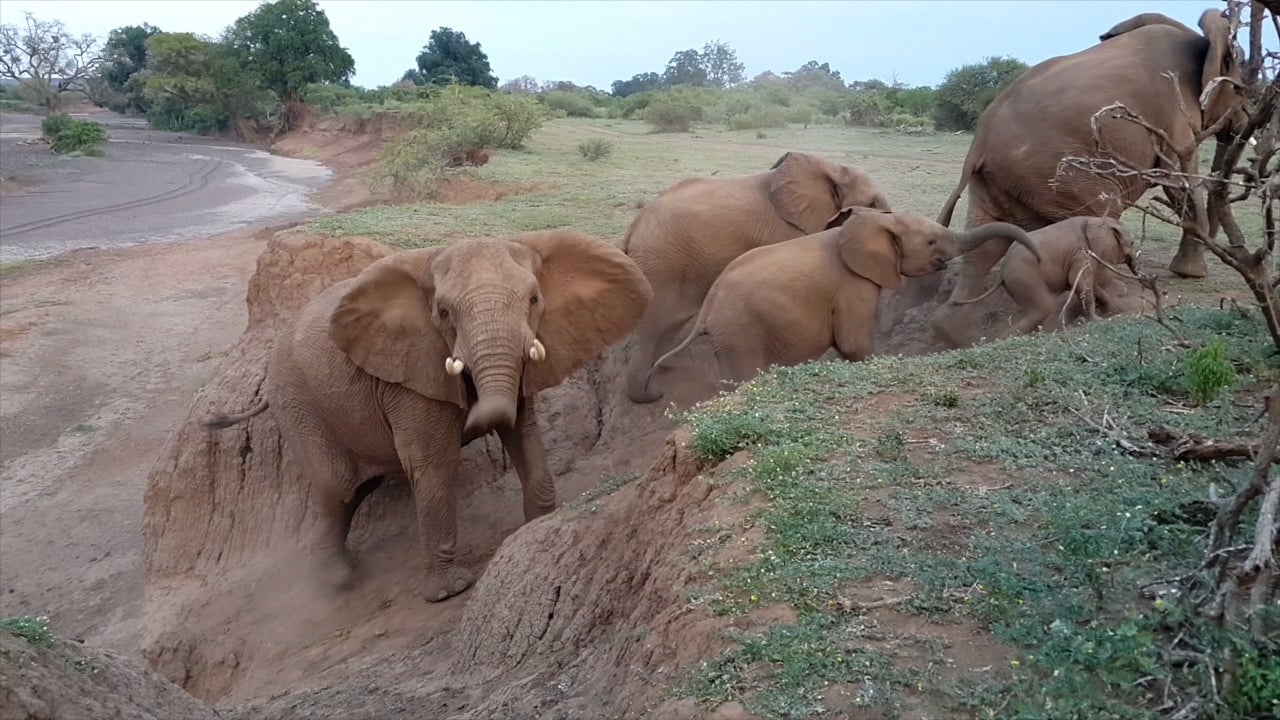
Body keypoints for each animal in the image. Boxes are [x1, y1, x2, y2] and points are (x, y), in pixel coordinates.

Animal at [200, 231, 653, 602]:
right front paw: (450, 590)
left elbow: (522, 432)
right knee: (339, 485)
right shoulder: (410, 377)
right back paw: (336, 580)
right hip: (298, 400)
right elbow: (434, 465)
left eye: (533, 300)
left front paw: (535, 527)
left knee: (359, 487)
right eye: (445, 312)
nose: (469, 404)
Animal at [622, 150, 892, 404]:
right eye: (873, 202)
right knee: (655, 324)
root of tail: (633, 226)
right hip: (661, 264)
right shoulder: (786, 230)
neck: (833, 168)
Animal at [643, 208, 1039, 390]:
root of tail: (707, 308)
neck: (877, 223)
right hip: (739, 332)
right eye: (930, 242)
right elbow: (854, 344)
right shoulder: (853, 285)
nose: (1035, 255)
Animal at [948, 216, 1139, 337]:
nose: (1141, 277)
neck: (1099, 220)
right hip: (1025, 276)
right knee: (1043, 308)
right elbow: (1078, 281)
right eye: (1132, 243)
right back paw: (1006, 338)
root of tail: (1002, 274)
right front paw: (1098, 320)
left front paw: (1114, 311)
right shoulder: (1081, 253)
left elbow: (1084, 283)